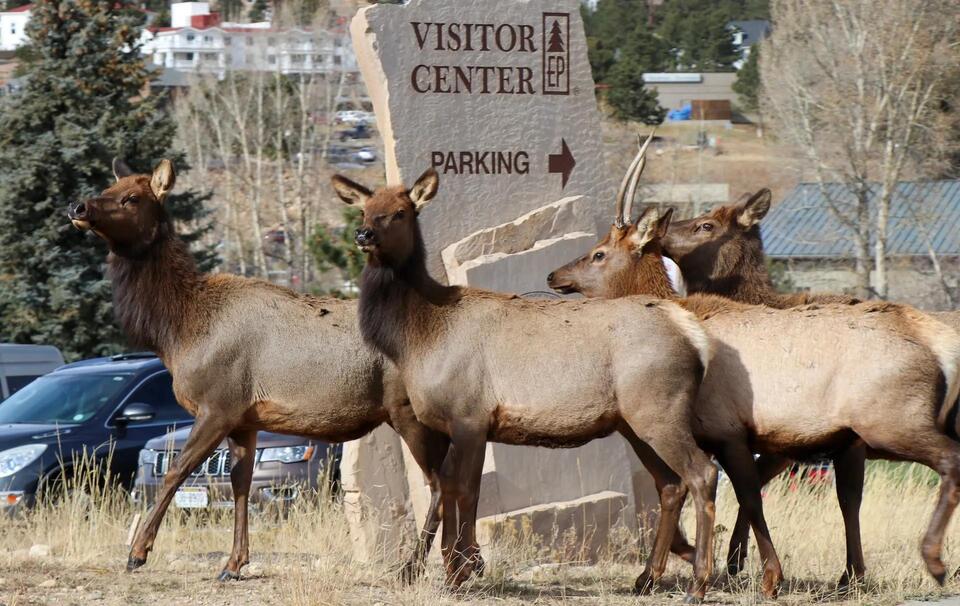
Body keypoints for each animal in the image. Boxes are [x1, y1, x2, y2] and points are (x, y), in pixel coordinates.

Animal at [66, 158, 457, 584]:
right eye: (109, 186)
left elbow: (177, 471)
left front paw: (137, 552)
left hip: (408, 410)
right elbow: (240, 484)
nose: (78, 207)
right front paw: (233, 563)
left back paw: (414, 567)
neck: (177, 331)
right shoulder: (244, 419)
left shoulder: (217, 403)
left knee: (440, 483)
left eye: (132, 197)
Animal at [331, 168, 721, 603]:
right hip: (634, 424)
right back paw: (646, 578)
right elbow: (454, 489)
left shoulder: (469, 416)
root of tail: (693, 334)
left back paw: (698, 584)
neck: (418, 336)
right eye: (365, 209)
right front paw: (456, 567)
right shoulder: (457, 425)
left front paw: (460, 572)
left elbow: (463, 490)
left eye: (400, 212)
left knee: (702, 474)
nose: (363, 234)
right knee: (670, 483)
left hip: (659, 411)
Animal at [547, 138, 960, 596]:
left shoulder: (731, 431)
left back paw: (930, 561)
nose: (554, 275)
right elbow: (700, 491)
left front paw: (760, 574)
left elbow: (745, 494)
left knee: (943, 464)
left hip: (887, 422)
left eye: (599, 253)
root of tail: (936, 340)